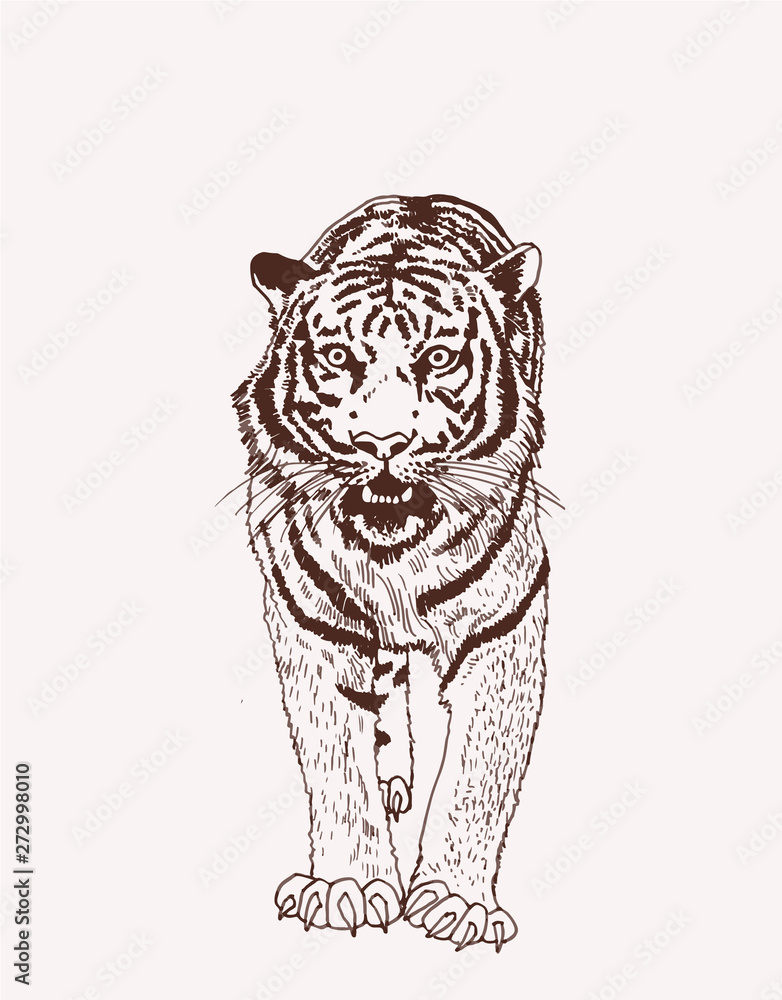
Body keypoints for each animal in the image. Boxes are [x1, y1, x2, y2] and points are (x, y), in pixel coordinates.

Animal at [232, 194, 550, 952]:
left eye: (437, 359)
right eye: (338, 359)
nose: (382, 444)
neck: (391, 557)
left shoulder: (505, 632)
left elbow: (477, 776)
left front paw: (458, 905)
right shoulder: (313, 631)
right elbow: (337, 770)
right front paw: (346, 888)